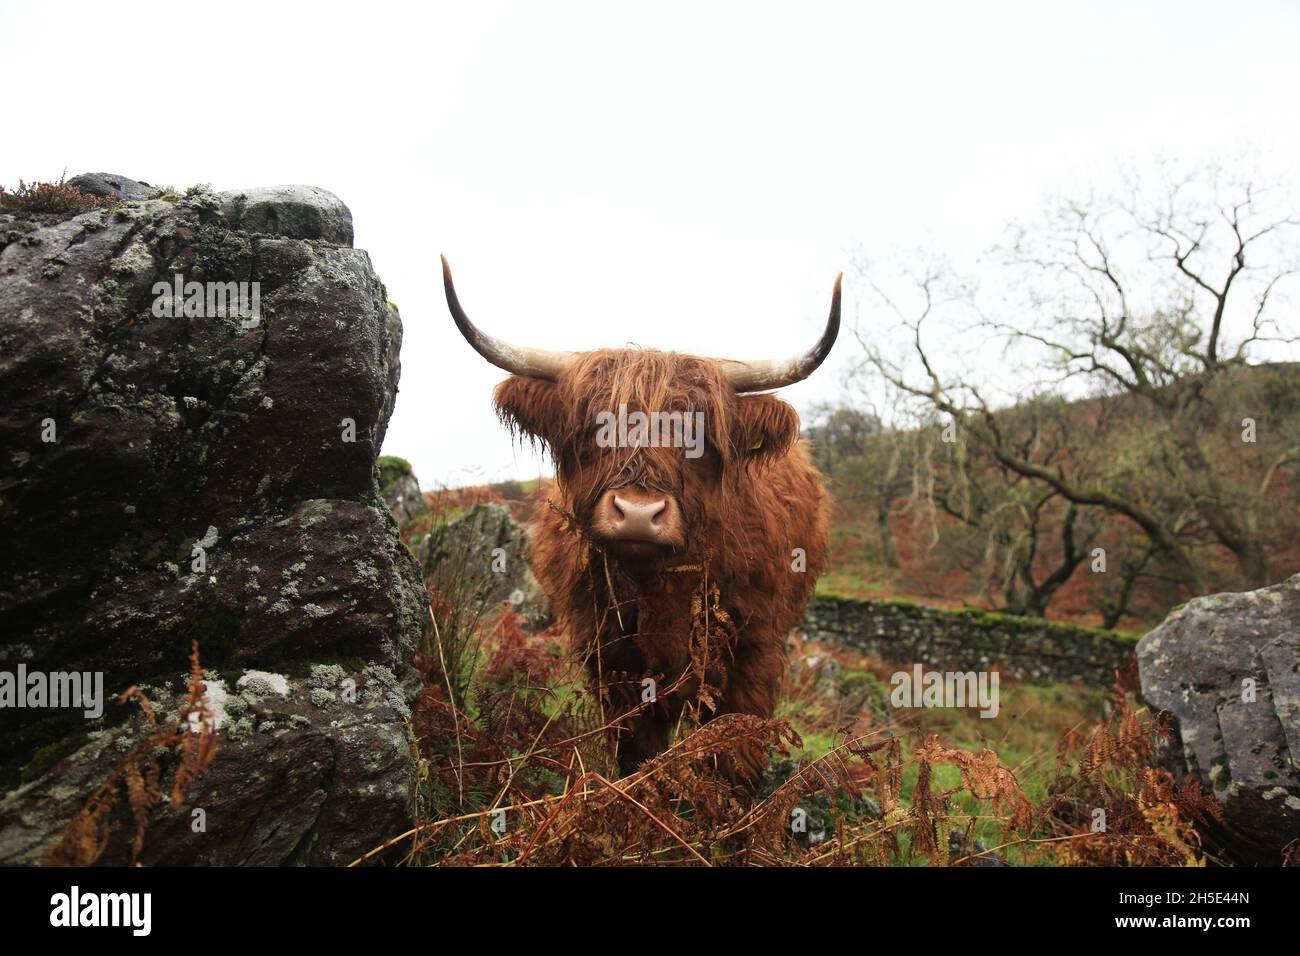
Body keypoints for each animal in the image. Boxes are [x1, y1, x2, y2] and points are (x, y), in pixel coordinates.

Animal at [441, 256, 838, 784]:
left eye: (699, 436)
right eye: (592, 426)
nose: (637, 514)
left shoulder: (753, 649)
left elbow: (732, 753)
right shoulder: (613, 659)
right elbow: (637, 751)